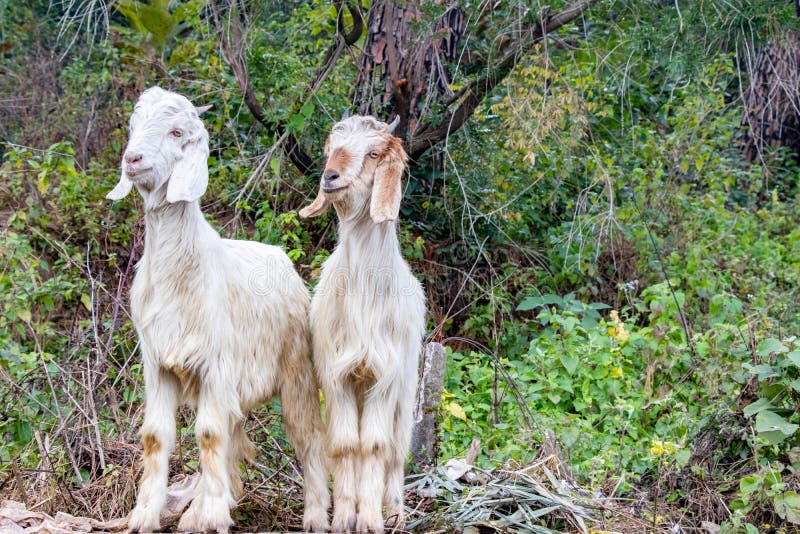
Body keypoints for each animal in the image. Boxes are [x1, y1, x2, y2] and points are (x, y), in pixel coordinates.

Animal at [106, 87, 329, 533]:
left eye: (176, 132)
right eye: (134, 125)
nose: (132, 159)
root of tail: (281, 258)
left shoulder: (216, 362)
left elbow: (208, 435)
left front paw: (209, 517)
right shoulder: (158, 362)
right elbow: (156, 436)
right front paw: (145, 516)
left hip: (296, 370)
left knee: (307, 437)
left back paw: (316, 516)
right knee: (232, 430)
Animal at [299, 115, 427, 533]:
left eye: (373, 153)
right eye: (330, 149)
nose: (330, 176)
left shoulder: (384, 377)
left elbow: (374, 445)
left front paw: (370, 519)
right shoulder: (336, 373)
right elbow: (344, 444)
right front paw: (344, 517)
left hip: (407, 387)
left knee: (397, 449)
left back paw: (396, 510)